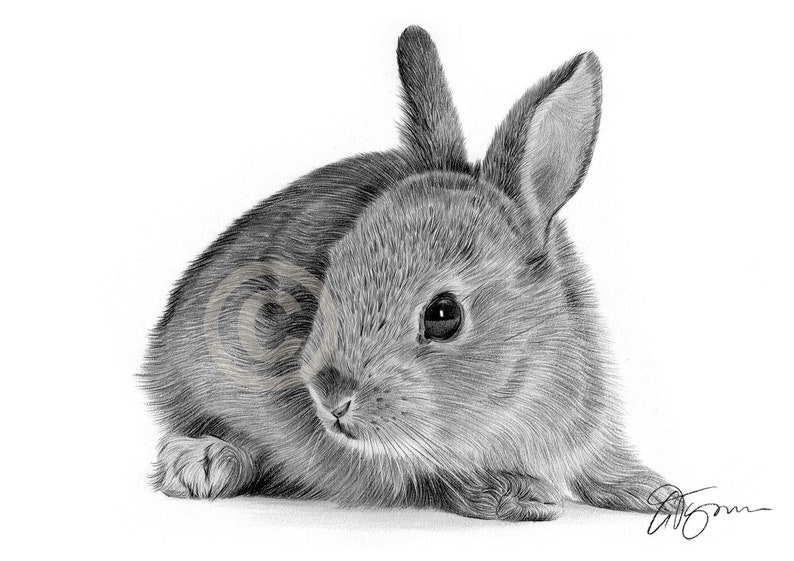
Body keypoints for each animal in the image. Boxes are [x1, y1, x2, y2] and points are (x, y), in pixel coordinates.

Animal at [141, 25, 673, 522]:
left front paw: (654, 493)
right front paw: (516, 493)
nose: (331, 396)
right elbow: (428, 476)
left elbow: (599, 462)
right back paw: (202, 462)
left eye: (443, 315)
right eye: (334, 267)